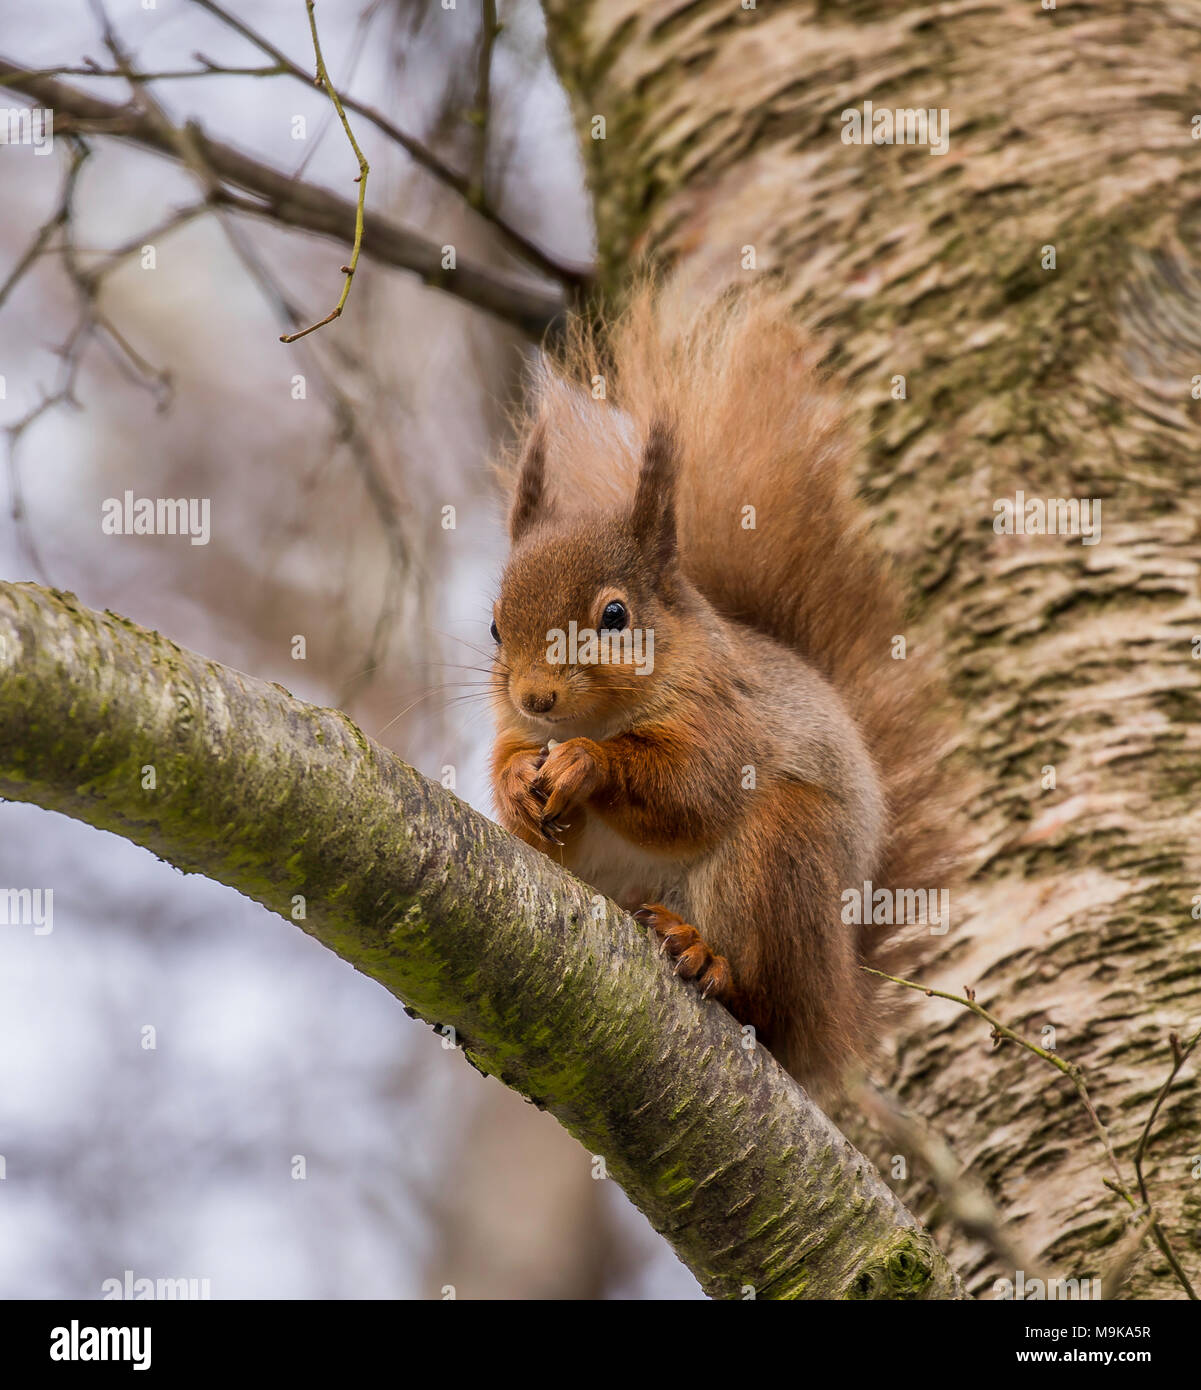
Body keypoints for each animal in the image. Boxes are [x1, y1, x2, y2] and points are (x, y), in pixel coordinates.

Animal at [489, 286, 955, 1092]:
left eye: (615, 616)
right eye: (492, 628)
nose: (536, 699)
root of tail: (833, 1010)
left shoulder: (725, 717)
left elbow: (693, 789)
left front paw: (587, 763)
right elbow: (531, 822)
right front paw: (521, 783)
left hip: (781, 856)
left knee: (764, 1005)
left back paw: (708, 959)